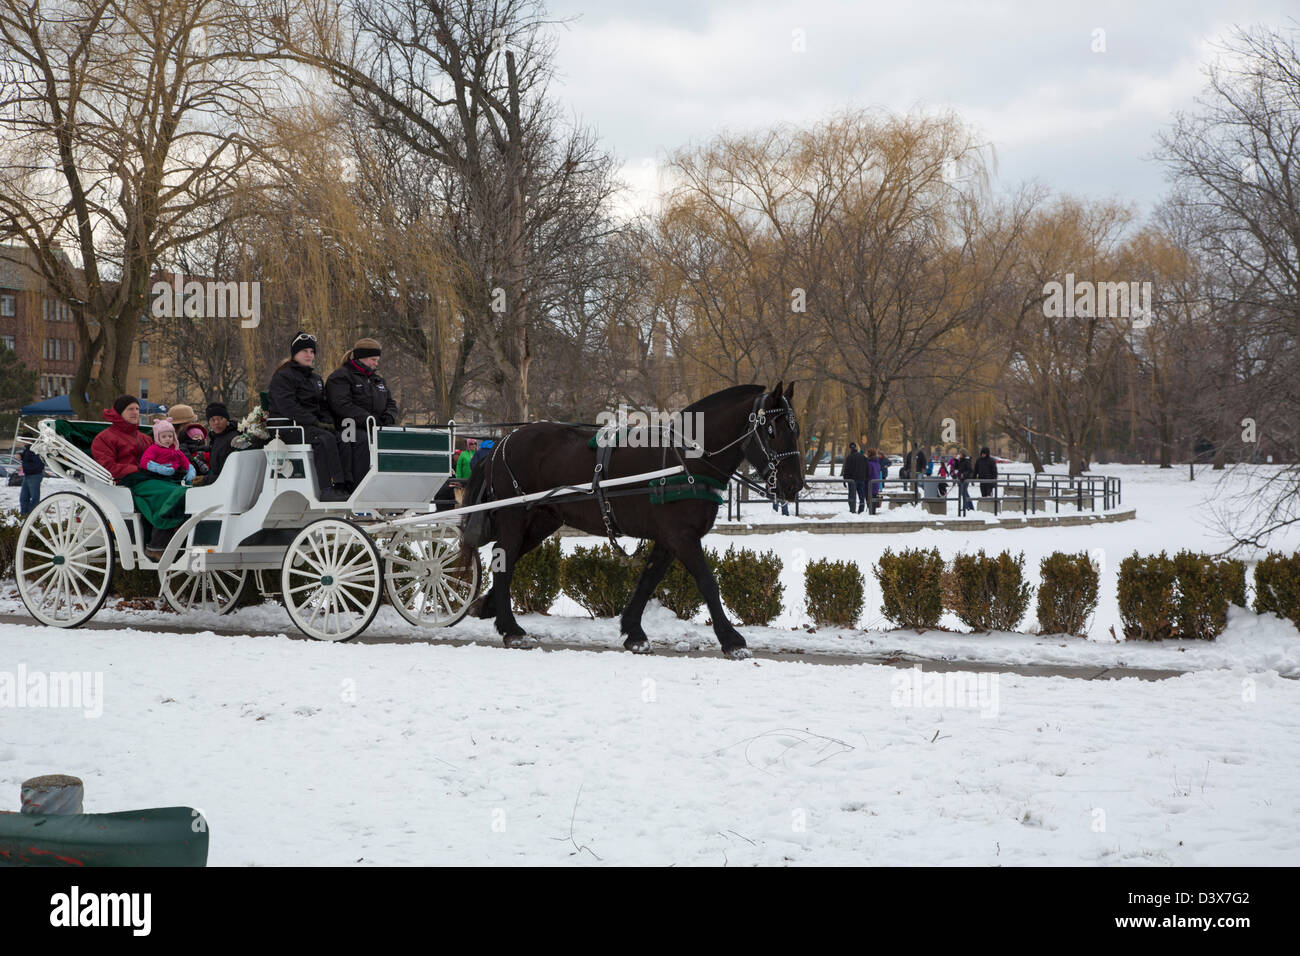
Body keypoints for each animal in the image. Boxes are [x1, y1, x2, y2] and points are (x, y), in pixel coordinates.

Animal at [458, 381, 804, 658]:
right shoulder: (682, 537)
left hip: (542, 521)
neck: (685, 460)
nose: (795, 485)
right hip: (514, 516)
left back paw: (491, 608)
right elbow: (708, 582)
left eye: (796, 429)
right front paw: (732, 641)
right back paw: (511, 629)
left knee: (508, 559)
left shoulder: (669, 539)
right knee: (504, 560)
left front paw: (633, 632)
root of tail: (502, 442)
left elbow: (648, 581)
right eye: (772, 430)